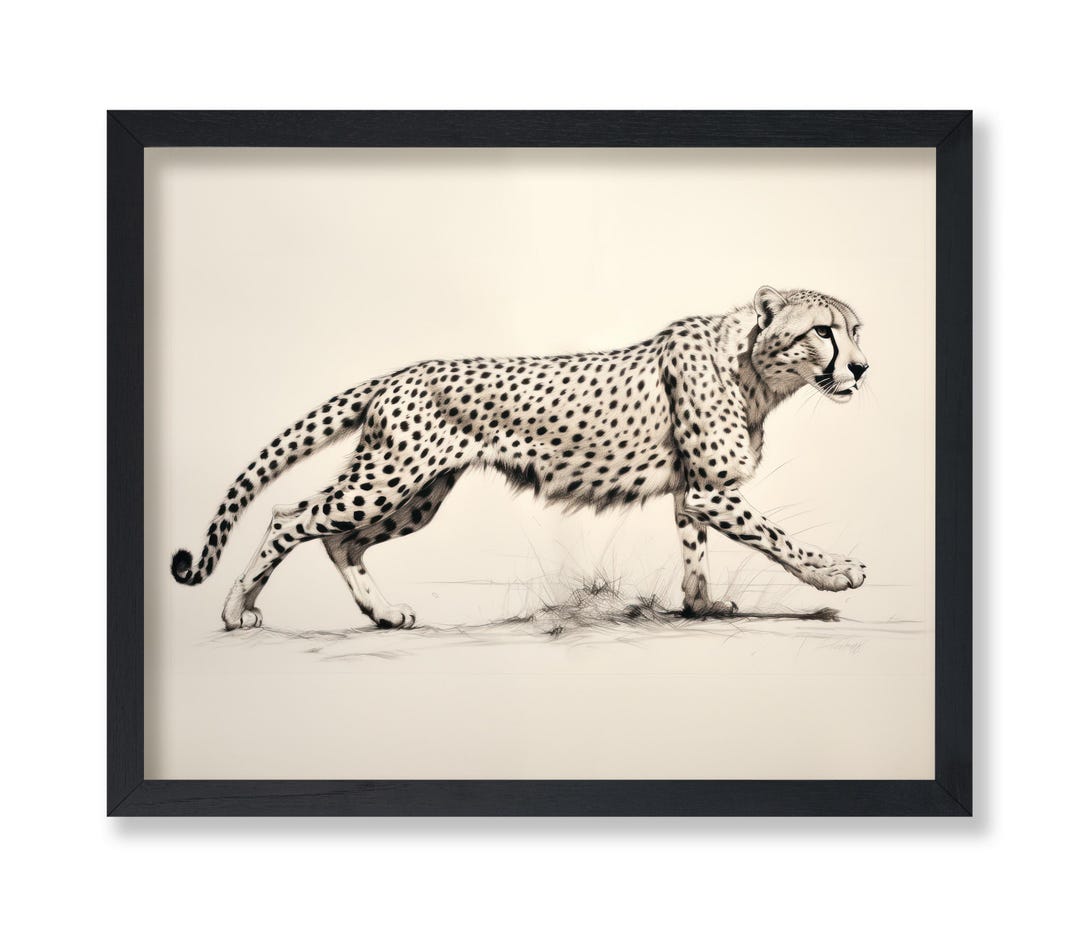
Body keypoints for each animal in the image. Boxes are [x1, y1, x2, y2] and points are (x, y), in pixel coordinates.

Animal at [171, 285, 870, 630]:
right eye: (823, 331)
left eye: (856, 329)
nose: (861, 368)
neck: (754, 366)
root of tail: (399, 372)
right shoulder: (709, 490)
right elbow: (779, 539)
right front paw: (838, 573)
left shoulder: (692, 491)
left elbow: (694, 553)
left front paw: (701, 606)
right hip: (388, 478)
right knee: (290, 516)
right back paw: (235, 611)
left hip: (417, 494)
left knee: (340, 540)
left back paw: (384, 614)